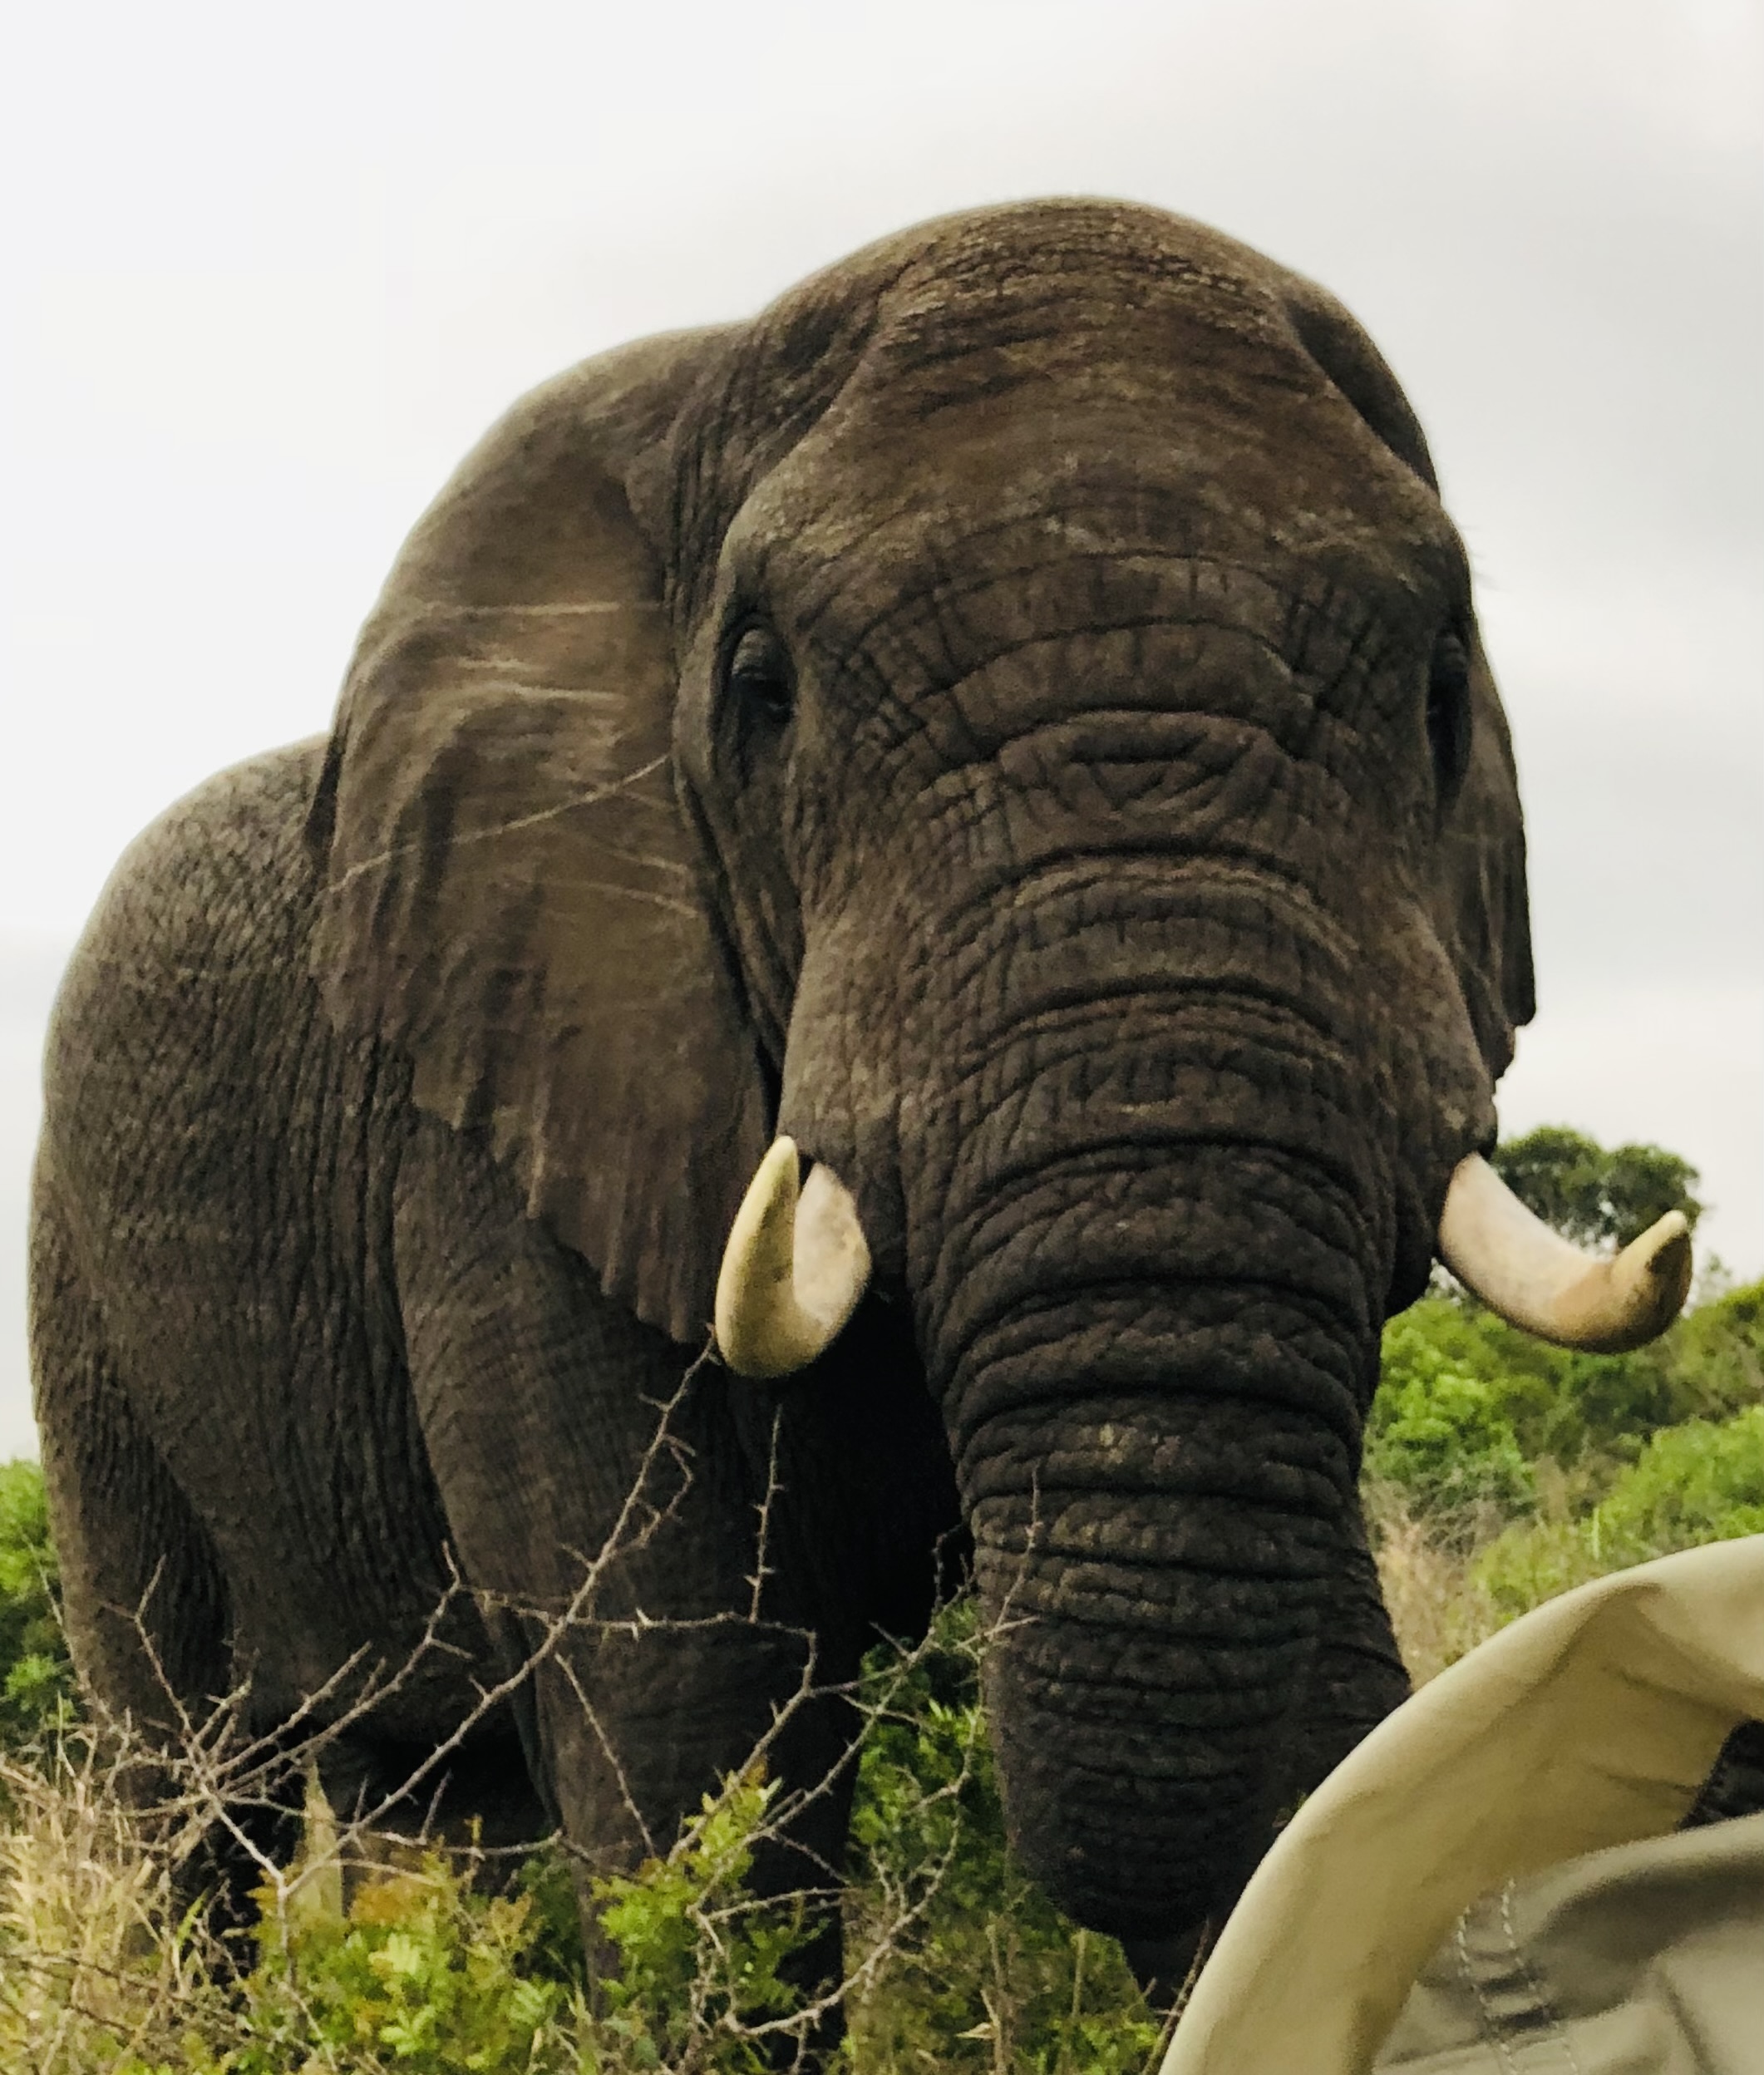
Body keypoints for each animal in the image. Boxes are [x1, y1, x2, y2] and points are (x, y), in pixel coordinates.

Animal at [29, 199, 1691, 2002]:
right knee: (196, 1776)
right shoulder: (506, 1122)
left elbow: (1309, 1646)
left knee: (441, 1786)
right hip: (82, 1305)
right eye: (763, 690)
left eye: (1442, 691)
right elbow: (699, 1721)